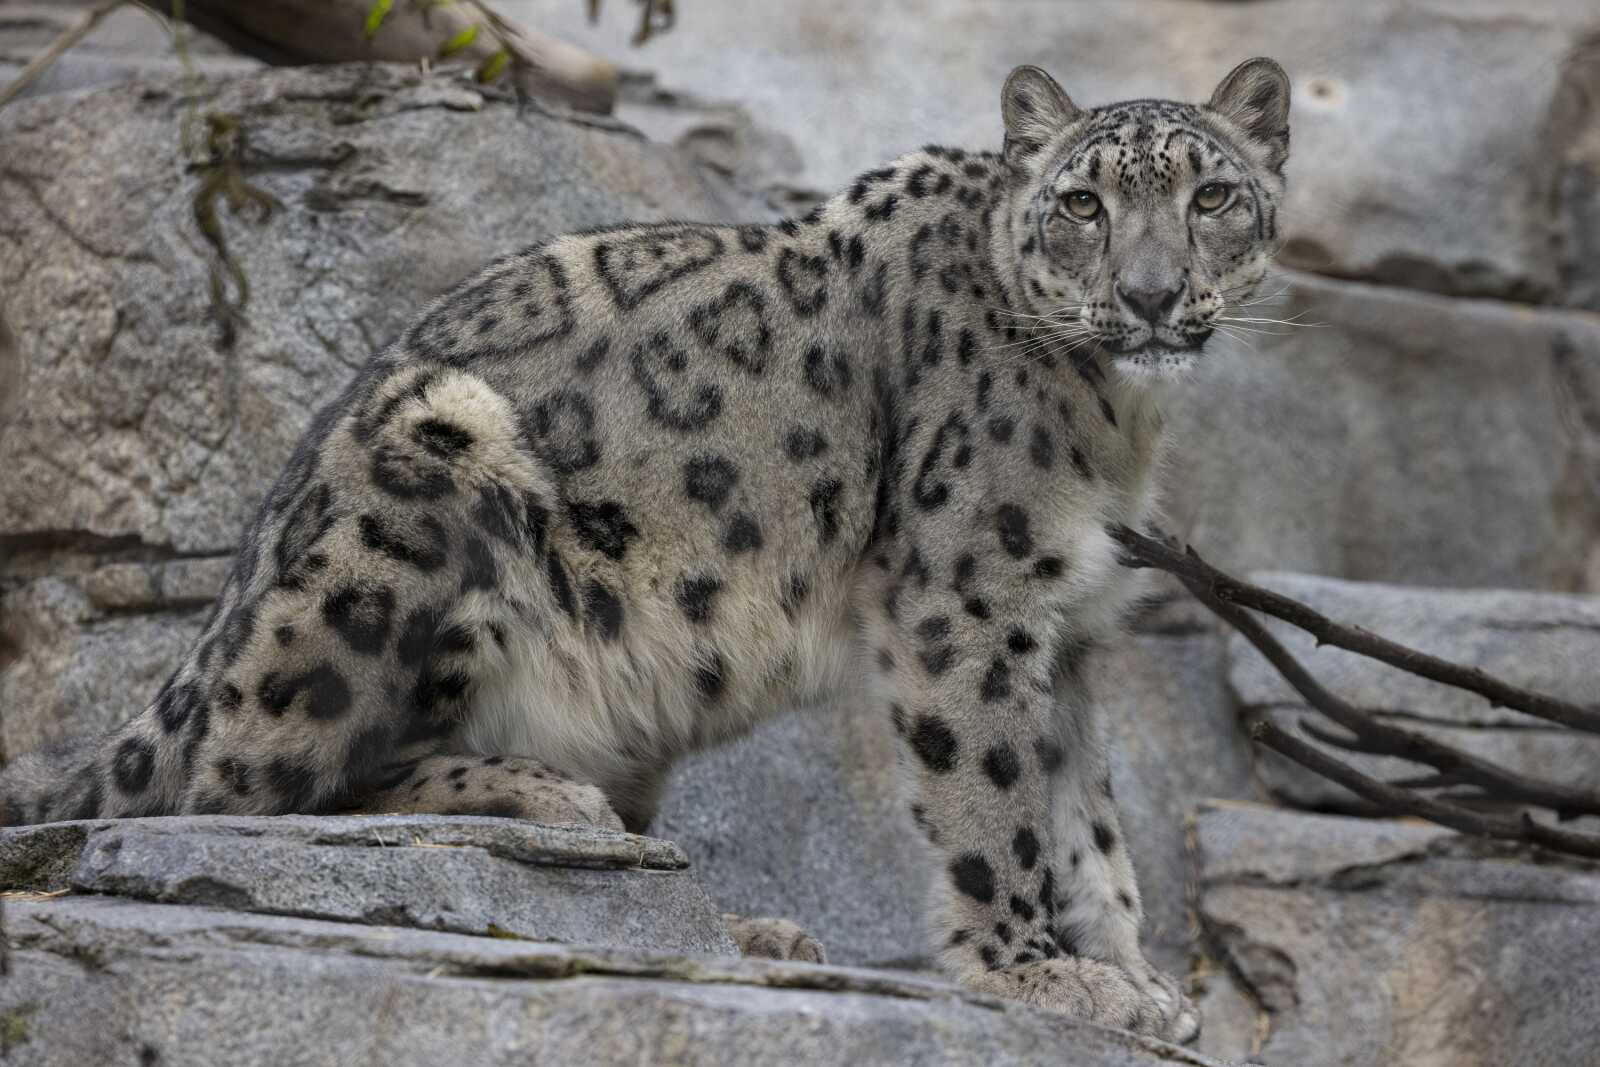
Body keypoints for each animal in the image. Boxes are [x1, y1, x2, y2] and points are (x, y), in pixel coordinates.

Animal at [0, 57, 1291, 1042]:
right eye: (1083, 205)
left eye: (1213, 195)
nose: (1152, 293)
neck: (1113, 417)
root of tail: (227, 602)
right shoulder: (967, 602)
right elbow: (998, 801)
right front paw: (1041, 970)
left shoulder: (1063, 627)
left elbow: (1090, 823)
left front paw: (1136, 976)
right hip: (411, 489)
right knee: (259, 789)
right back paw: (546, 798)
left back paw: (748, 926)